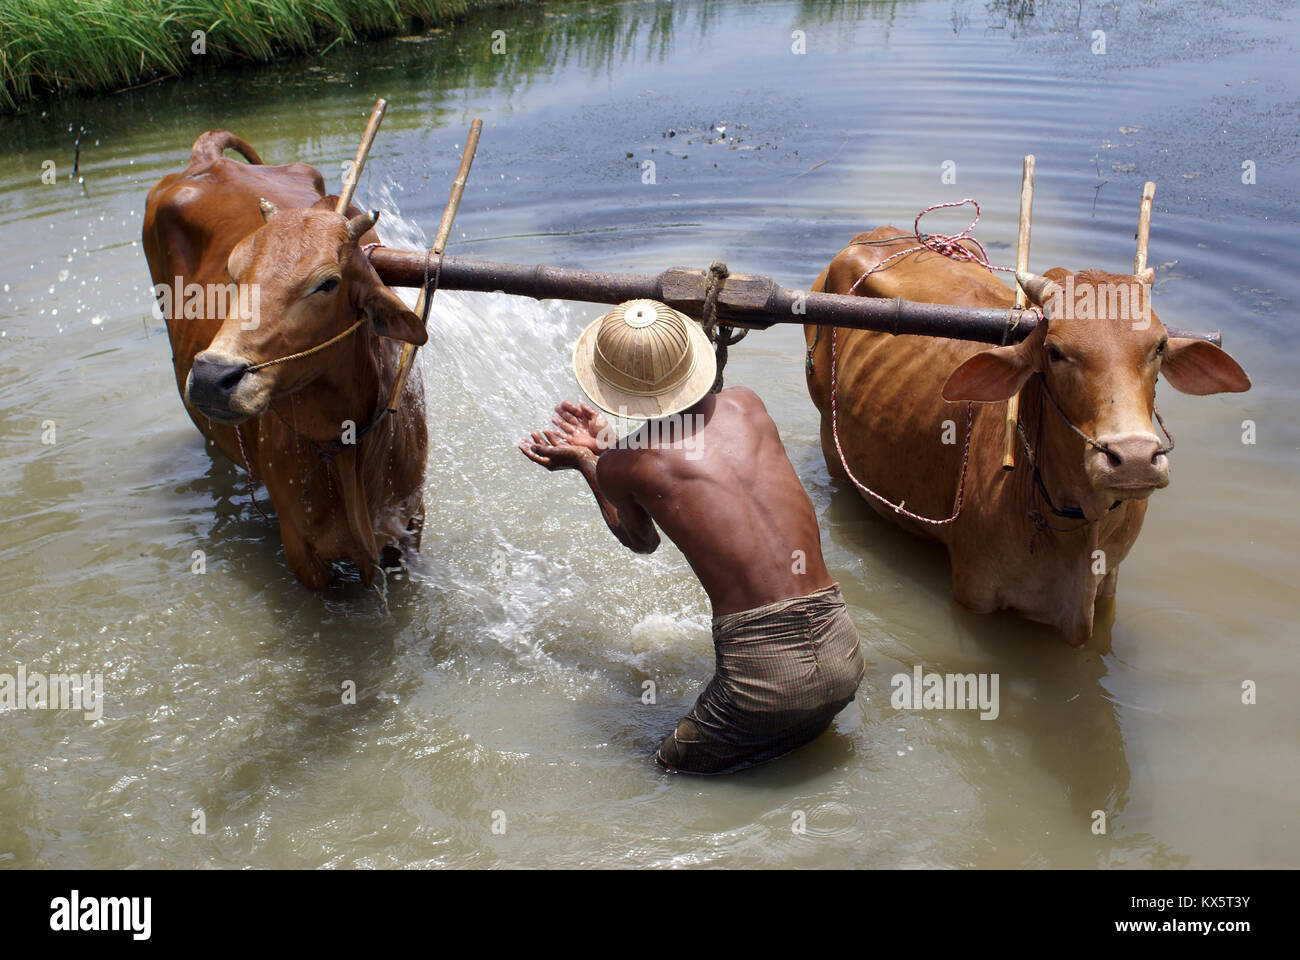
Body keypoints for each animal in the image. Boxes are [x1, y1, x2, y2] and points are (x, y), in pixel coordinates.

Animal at [142, 131, 429, 590]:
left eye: (327, 283)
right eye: (233, 274)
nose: (211, 376)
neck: (345, 445)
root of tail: (207, 159)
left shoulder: (410, 524)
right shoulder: (301, 552)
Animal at [805, 227, 1251, 646]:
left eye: (1159, 346)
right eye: (1055, 351)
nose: (1135, 459)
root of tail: (873, 235)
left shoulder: (1109, 580)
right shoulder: (974, 589)